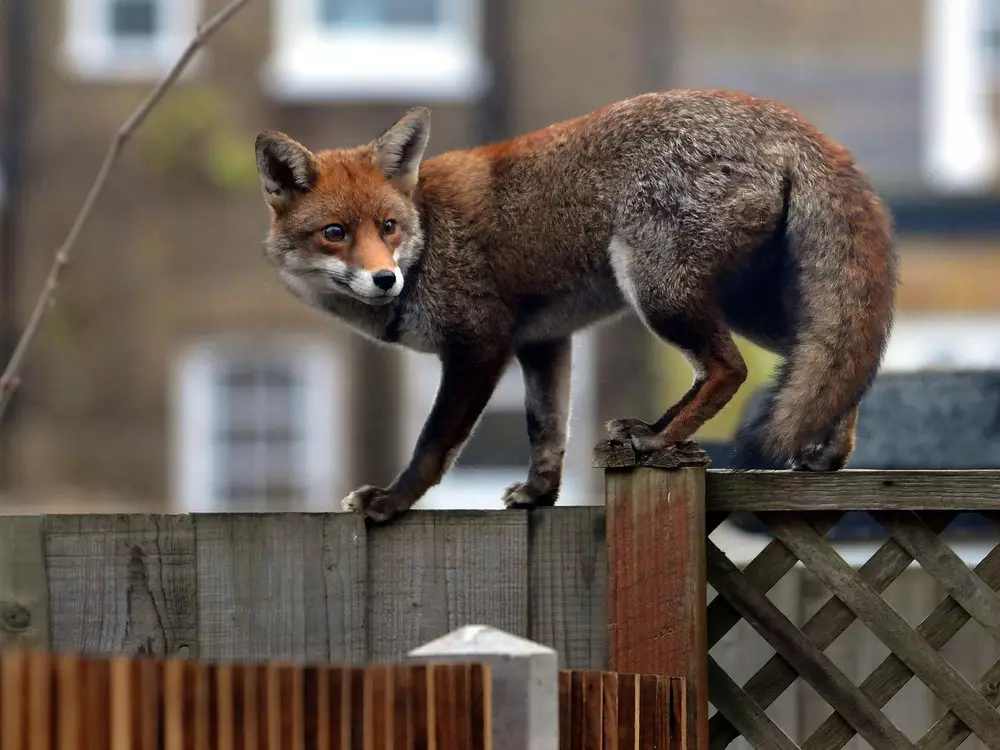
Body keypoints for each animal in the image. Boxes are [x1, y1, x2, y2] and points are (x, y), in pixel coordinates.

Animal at [254, 88, 896, 524]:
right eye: (335, 233)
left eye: (387, 227)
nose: (385, 279)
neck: (430, 236)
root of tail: (782, 117)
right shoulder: (543, 341)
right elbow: (546, 430)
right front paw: (539, 495)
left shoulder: (479, 344)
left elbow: (434, 444)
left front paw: (391, 501)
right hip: (738, 304)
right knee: (832, 363)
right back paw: (825, 455)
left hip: (659, 291)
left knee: (728, 369)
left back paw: (659, 440)